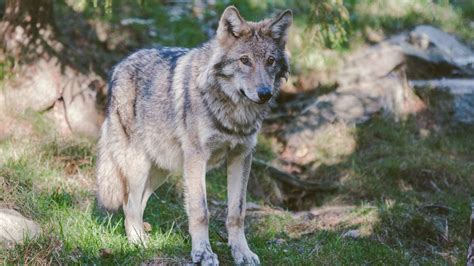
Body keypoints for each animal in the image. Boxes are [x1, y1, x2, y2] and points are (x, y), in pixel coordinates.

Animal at [94, 5, 290, 264]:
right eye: (245, 60)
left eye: (270, 61)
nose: (265, 93)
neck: (234, 112)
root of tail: (119, 66)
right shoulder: (197, 158)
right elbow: (200, 211)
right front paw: (202, 253)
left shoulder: (241, 156)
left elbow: (237, 212)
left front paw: (242, 253)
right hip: (138, 165)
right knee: (129, 203)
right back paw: (138, 244)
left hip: (161, 170)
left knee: (139, 202)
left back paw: (145, 240)